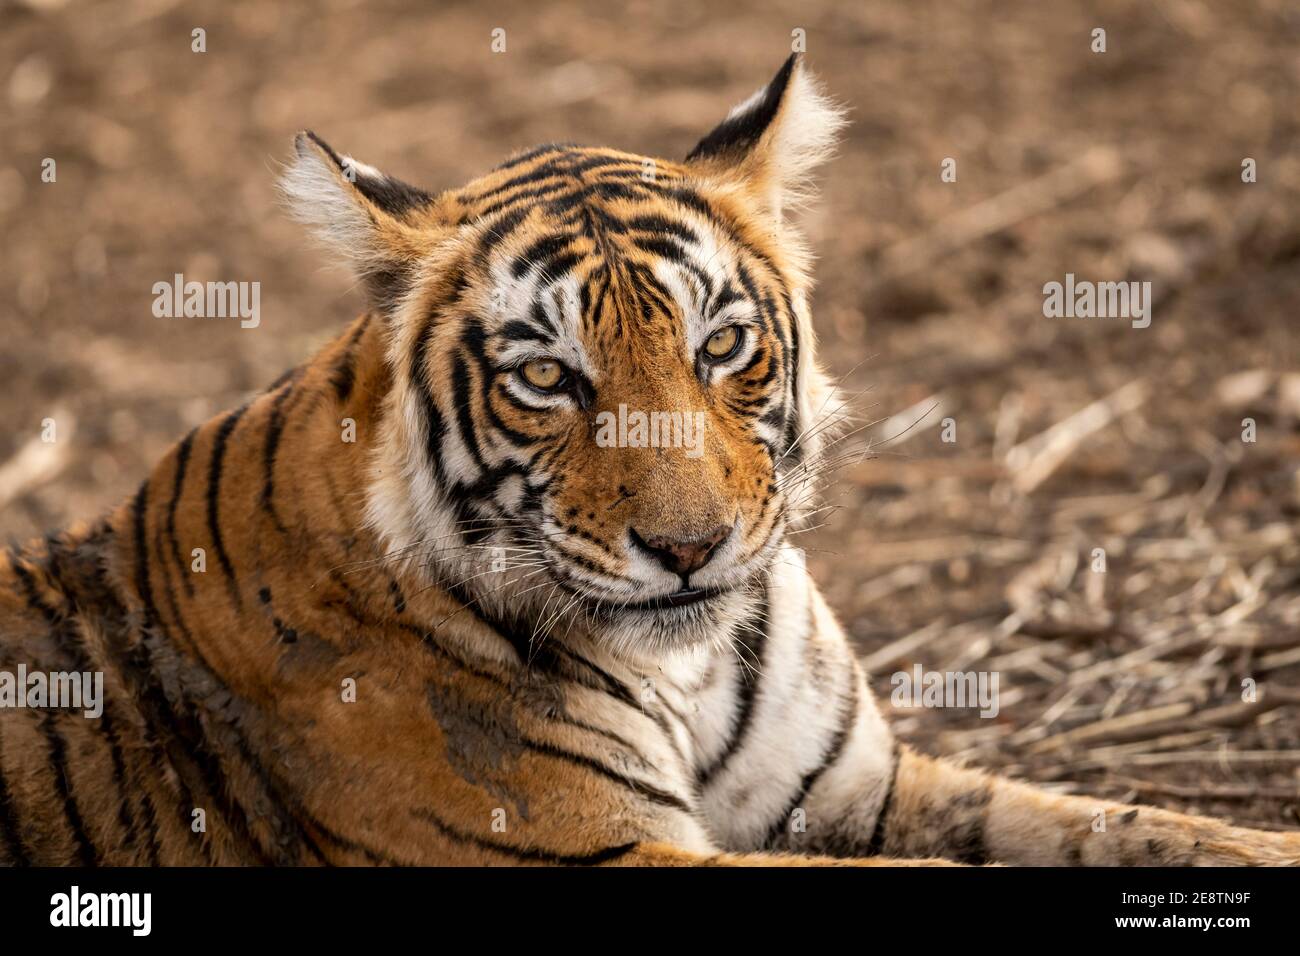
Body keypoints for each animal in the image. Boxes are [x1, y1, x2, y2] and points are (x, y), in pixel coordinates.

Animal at [1, 53, 1296, 867]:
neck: (691, 671)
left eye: (719, 345)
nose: (687, 548)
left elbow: (1118, 823)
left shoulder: (855, 790)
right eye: (545, 378)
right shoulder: (598, 850)